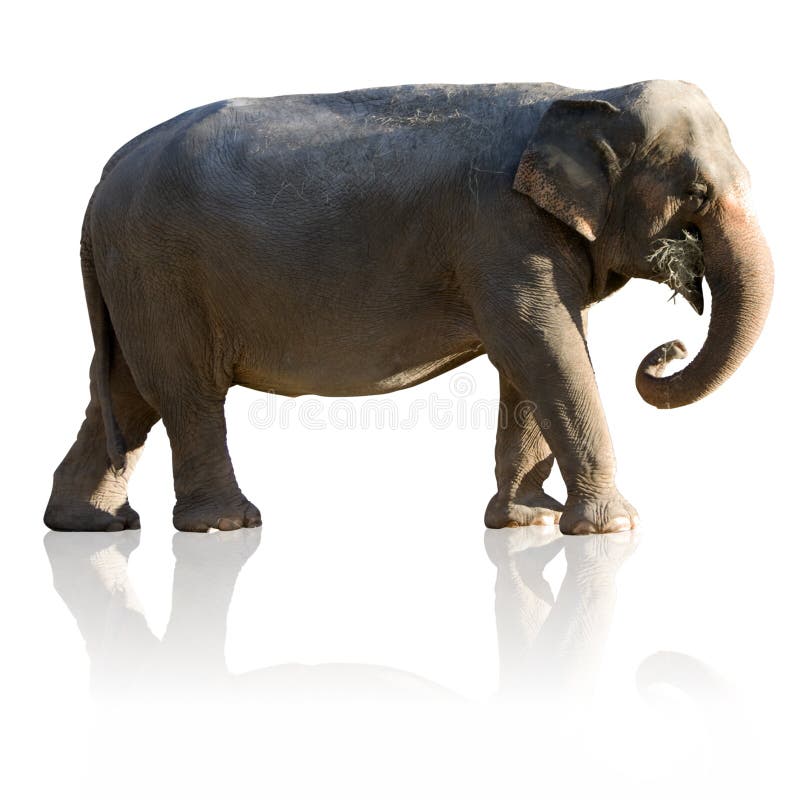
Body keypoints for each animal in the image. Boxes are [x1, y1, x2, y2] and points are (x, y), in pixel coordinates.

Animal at [43, 80, 773, 534]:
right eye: (698, 193)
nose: (666, 349)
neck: (591, 94)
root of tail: (101, 179)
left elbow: (534, 360)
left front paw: (527, 521)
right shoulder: (501, 230)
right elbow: (545, 349)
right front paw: (613, 528)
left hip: (136, 282)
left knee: (127, 392)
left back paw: (92, 525)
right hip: (158, 270)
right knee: (184, 392)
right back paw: (226, 525)